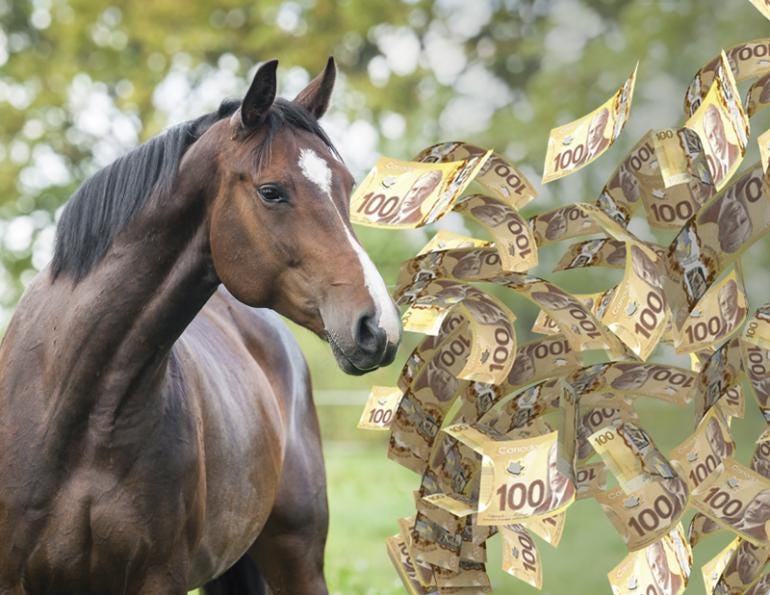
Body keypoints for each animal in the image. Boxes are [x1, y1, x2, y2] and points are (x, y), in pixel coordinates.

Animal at [0, 57, 401, 594]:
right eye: (271, 191)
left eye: (346, 185)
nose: (378, 326)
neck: (77, 410)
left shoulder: (159, 578)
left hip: (297, 556)